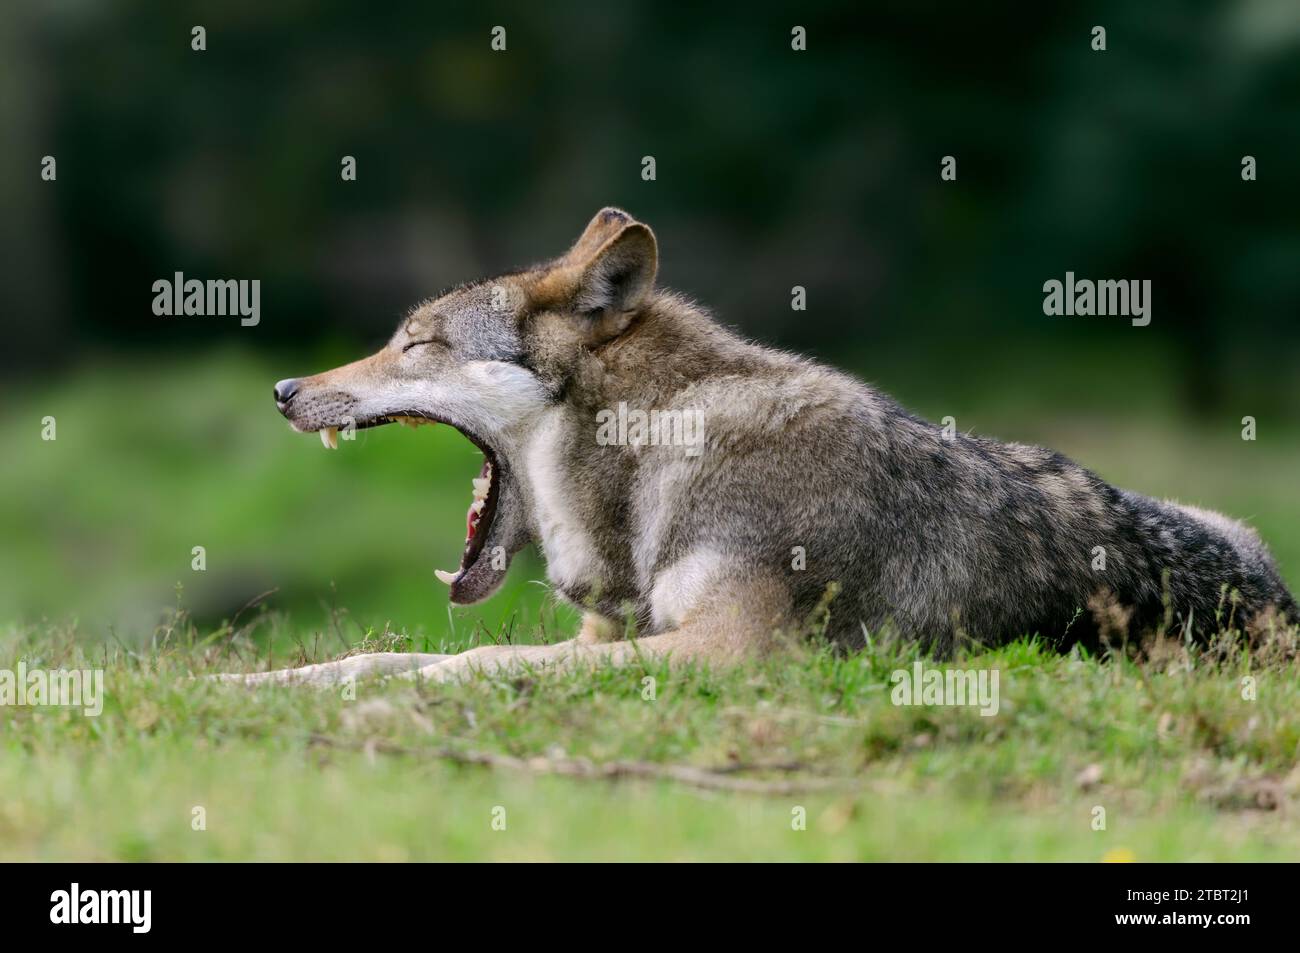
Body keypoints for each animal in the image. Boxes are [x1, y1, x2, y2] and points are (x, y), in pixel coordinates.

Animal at [223, 208, 1296, 685]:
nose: (283, 390)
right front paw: (254, 681)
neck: (651, 461)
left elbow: (464, 662)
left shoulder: (729, 649)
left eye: (415, 344)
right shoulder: (609, 633)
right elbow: (380, 658)